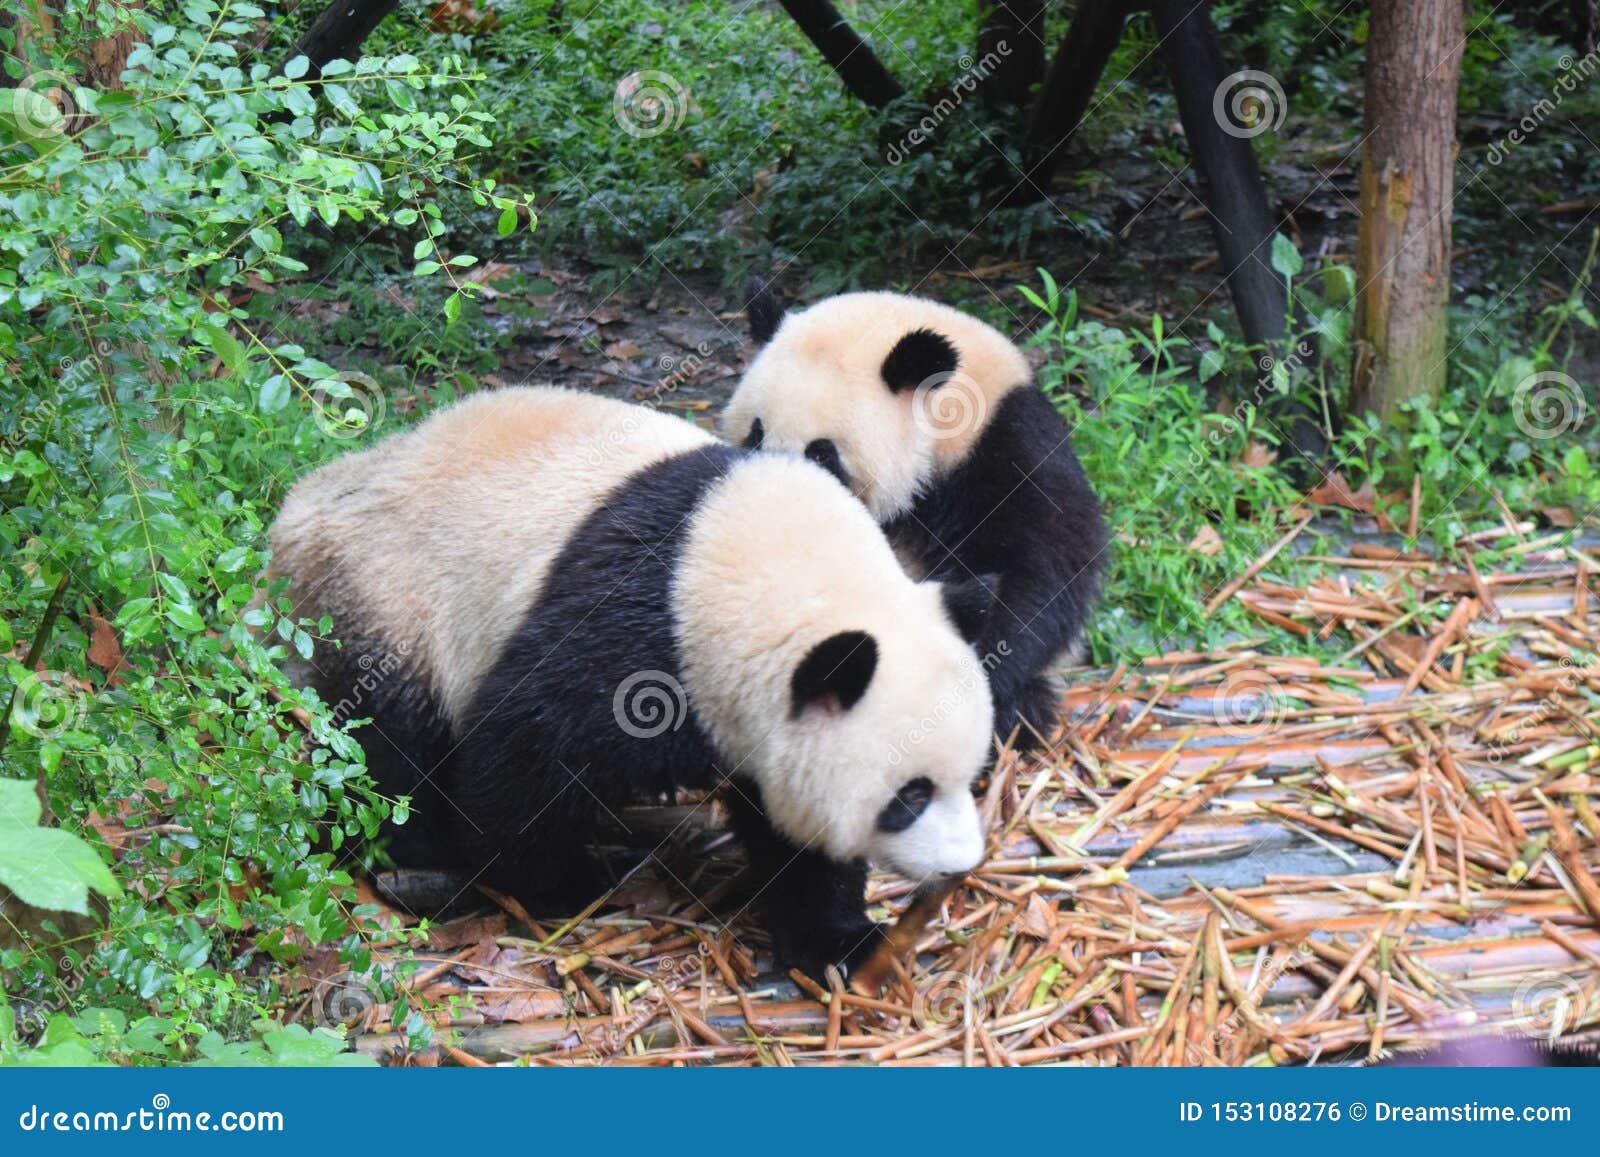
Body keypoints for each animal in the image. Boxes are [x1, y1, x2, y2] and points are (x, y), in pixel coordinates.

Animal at [266, 386, 998, 975]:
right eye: (910, 796)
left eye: (973, 776)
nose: (961, 865)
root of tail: (299, 511)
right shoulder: (637, 632)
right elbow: (523, 750)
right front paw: (567, 879)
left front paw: (838, 943)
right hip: (386, 593)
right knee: (390, 740)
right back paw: (424, 853)